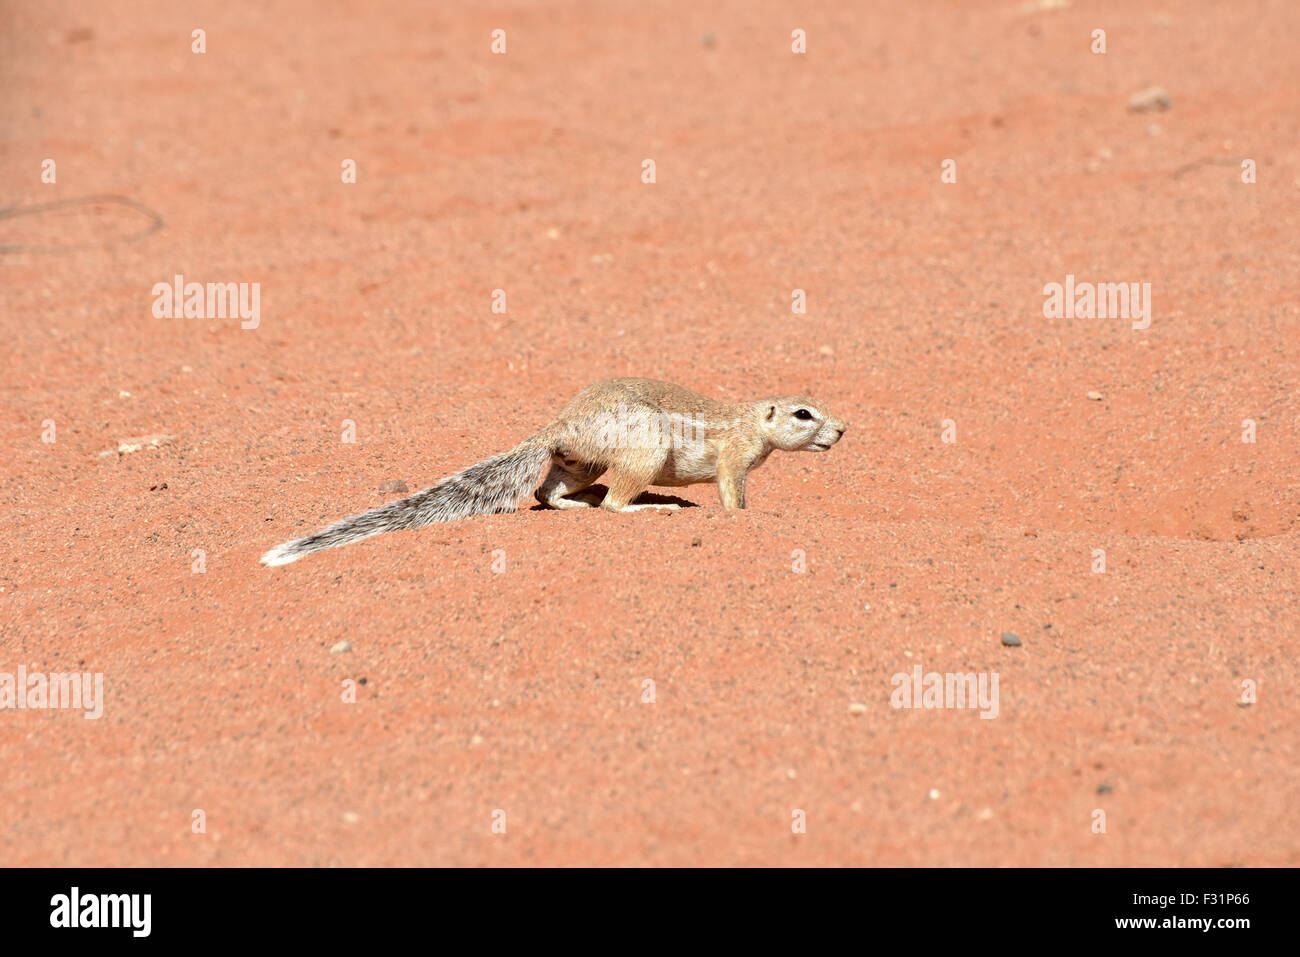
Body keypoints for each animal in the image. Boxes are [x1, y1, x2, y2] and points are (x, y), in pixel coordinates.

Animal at [260, 377, 847, 566]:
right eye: (804, 414)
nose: (842, 430)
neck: (752, 422)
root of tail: (559, 425)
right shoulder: (733, 460)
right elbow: (732, 494)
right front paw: (740, 517)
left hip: (581, 463)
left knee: (548, 492)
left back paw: (574, 505)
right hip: (646, 449)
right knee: (613, 503)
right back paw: (645, 508)